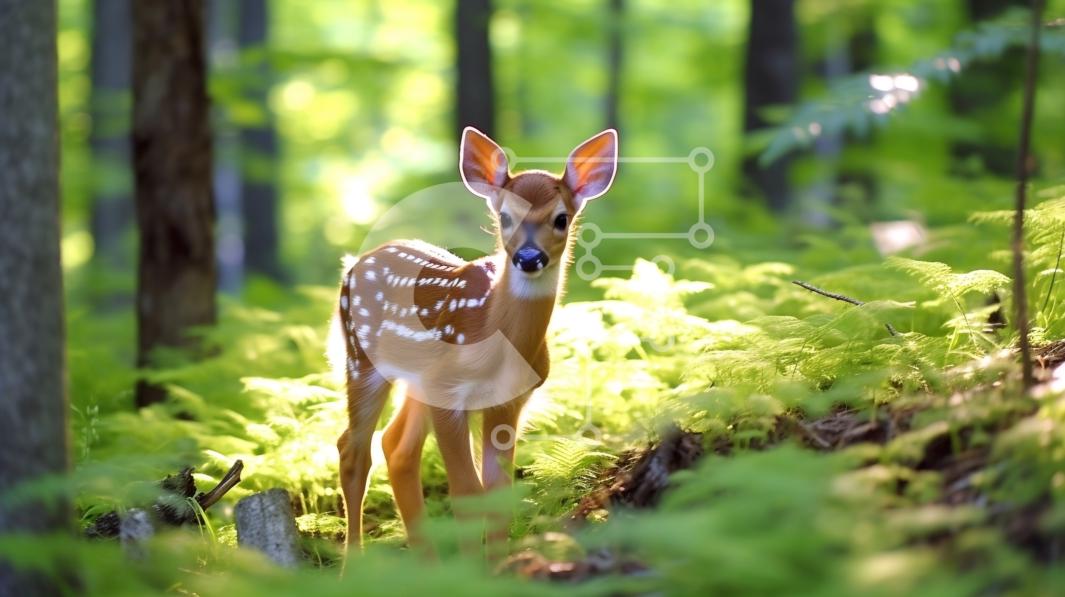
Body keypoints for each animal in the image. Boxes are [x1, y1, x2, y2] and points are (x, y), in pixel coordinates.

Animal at [330, 126, 618, 551]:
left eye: (561, 218)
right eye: (505, 216)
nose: (528, 258)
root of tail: (352, 265)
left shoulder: (510, 401)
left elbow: (497, 496)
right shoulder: (449, 390)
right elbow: (466, 493)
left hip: (416, 381)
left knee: (396, 446)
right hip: (360, 358)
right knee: (353, 450)